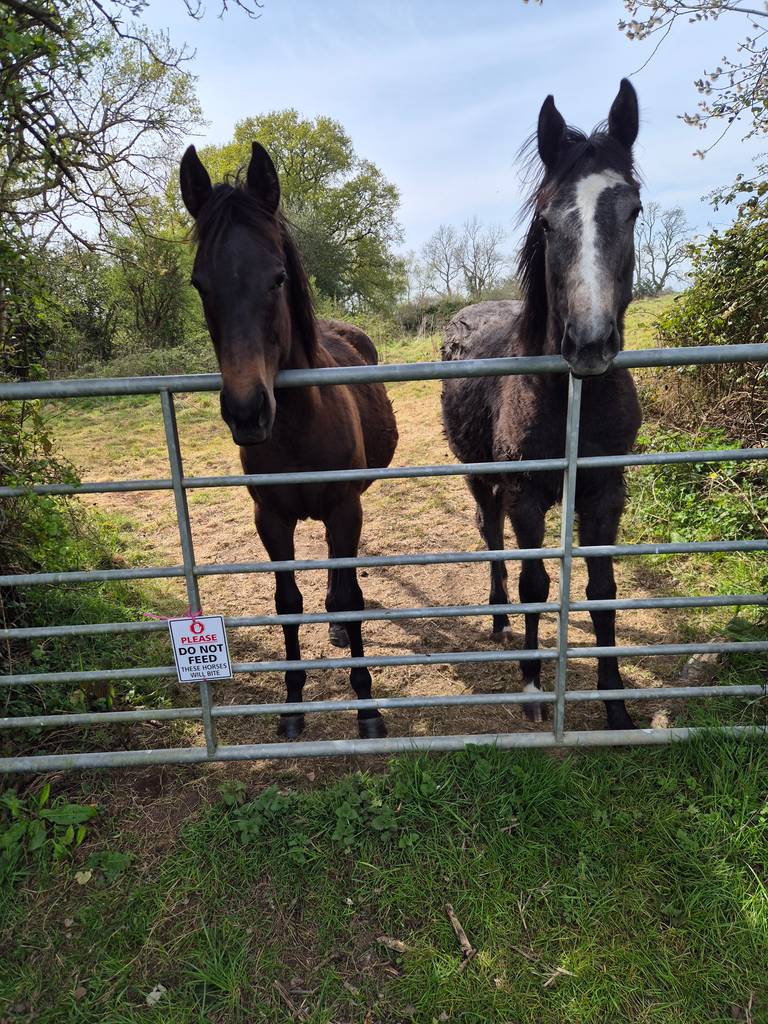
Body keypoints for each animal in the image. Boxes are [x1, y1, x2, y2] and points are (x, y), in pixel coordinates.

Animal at [179, 141, 398, 739]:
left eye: (277, 278)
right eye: (200, 284)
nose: (247, 412)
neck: (300, 429)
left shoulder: (344, 508)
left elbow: (347, 598)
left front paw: (367, 708)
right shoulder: (271, 519)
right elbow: (287, 602)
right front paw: (293, 703)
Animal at [441, 79, 643, 730]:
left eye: (633, 210)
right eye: (547, 222)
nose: (588, 343)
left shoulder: (604, 495)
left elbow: (602, 591)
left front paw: (615, 705)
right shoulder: (524, 494)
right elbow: (534, 582)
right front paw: (531, 686)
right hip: (480, 476)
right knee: (491, 537)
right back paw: (500, 618)